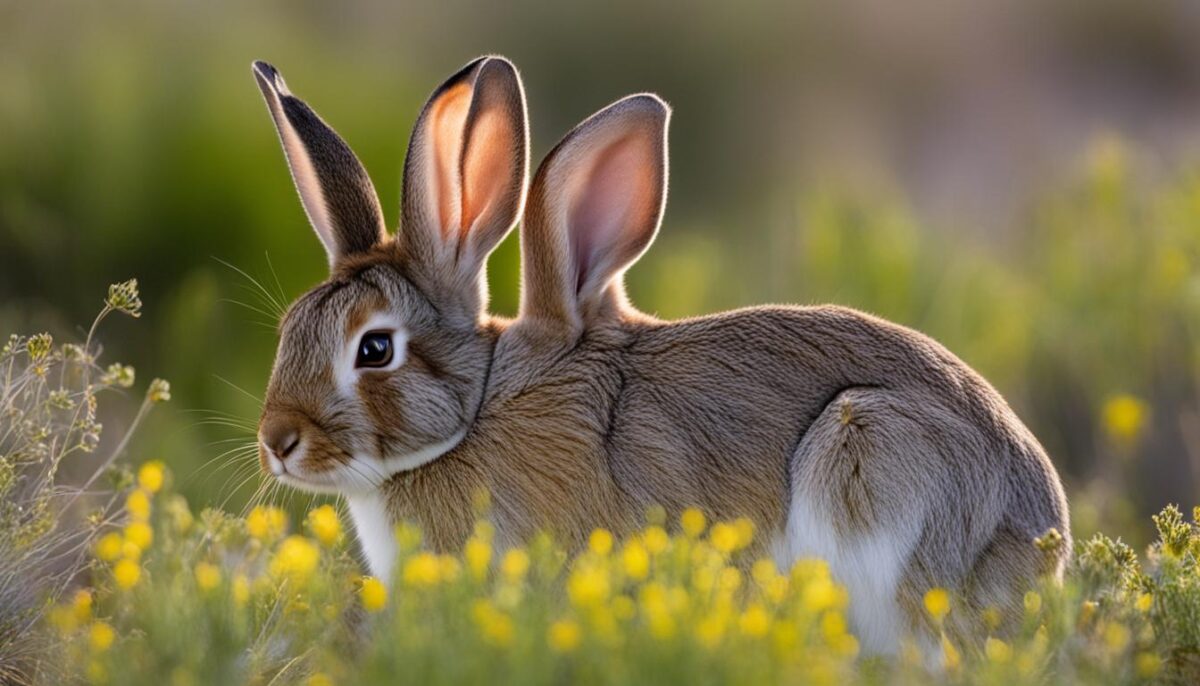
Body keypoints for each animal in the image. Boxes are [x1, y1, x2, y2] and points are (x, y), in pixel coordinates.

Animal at [251, 55, 1070, 654]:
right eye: (289, 329)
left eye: (375, 348)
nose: (276, 442)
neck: (472, 417)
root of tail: (1039, 544)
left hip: (867, 463)